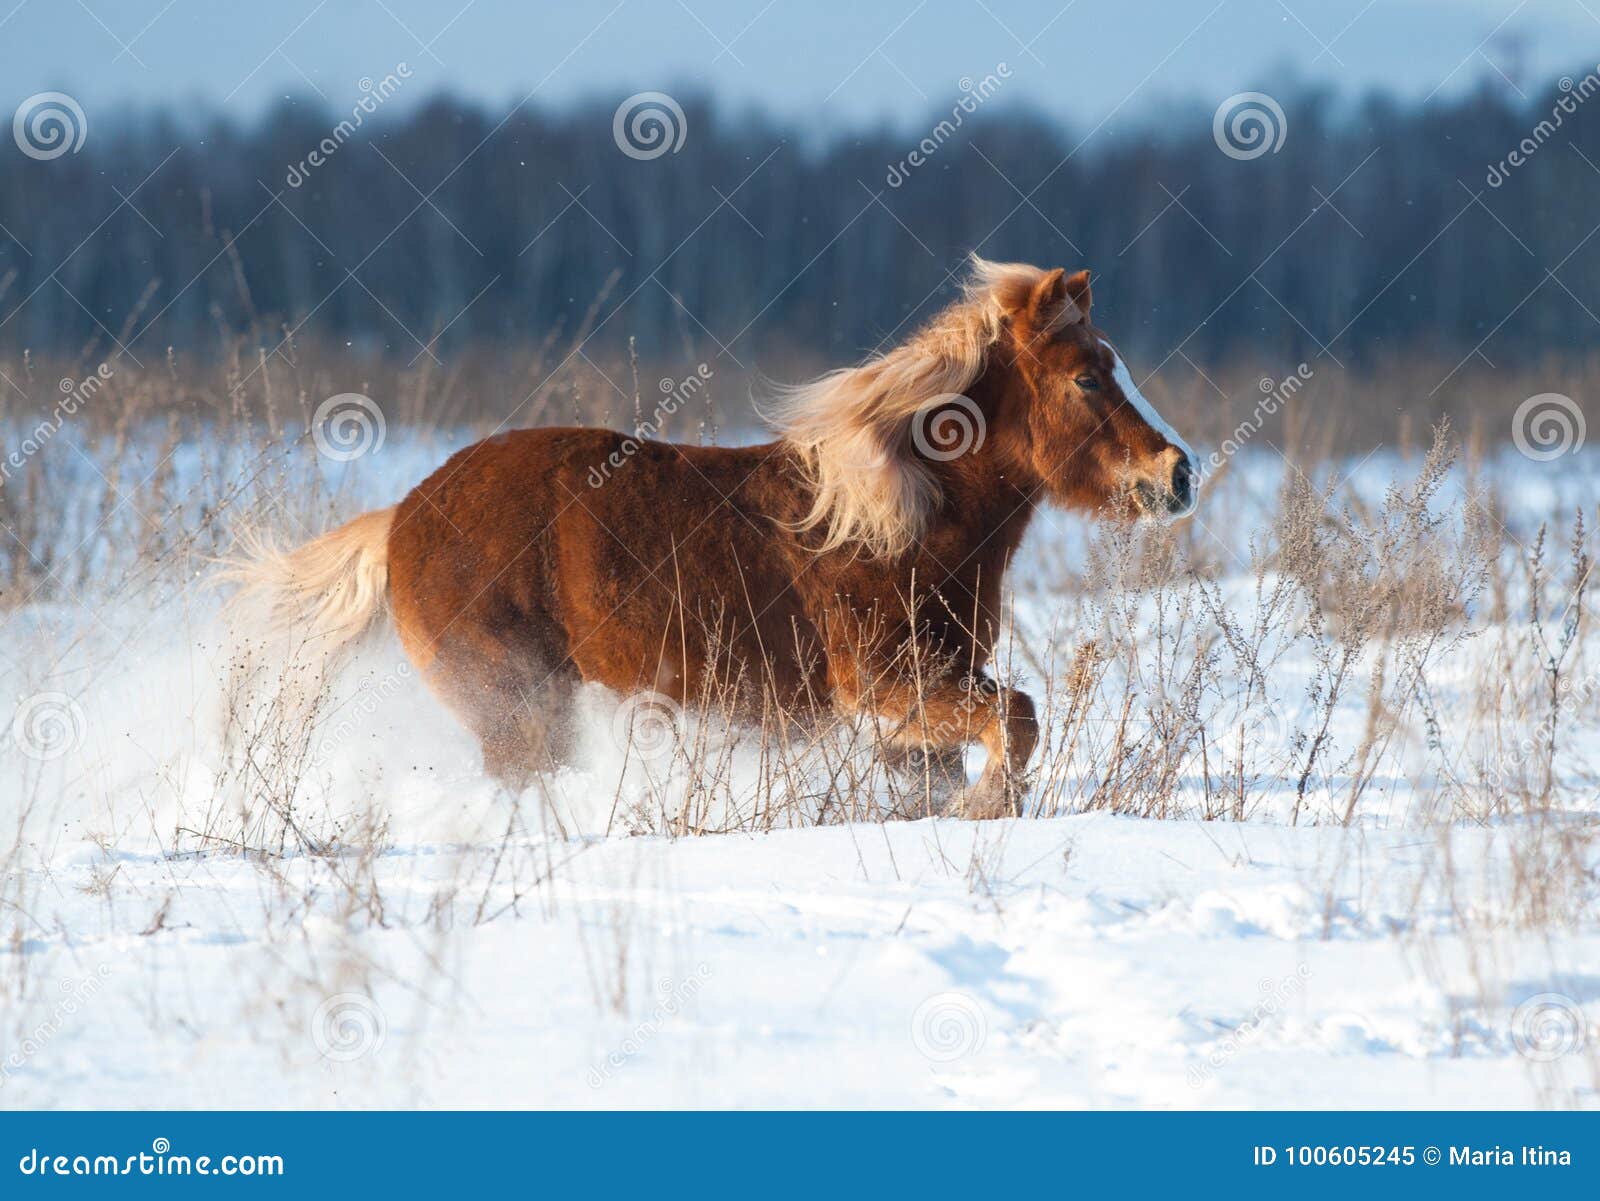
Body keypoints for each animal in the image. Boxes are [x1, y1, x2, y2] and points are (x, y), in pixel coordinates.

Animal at [236, 256, 1197, 819]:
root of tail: (402, 516)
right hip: (520, 709)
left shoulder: (918, 700)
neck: (896, 516)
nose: (1178, 473)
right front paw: (990, 810)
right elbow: (1018, 715)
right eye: (1086, 376)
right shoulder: (890, 680)